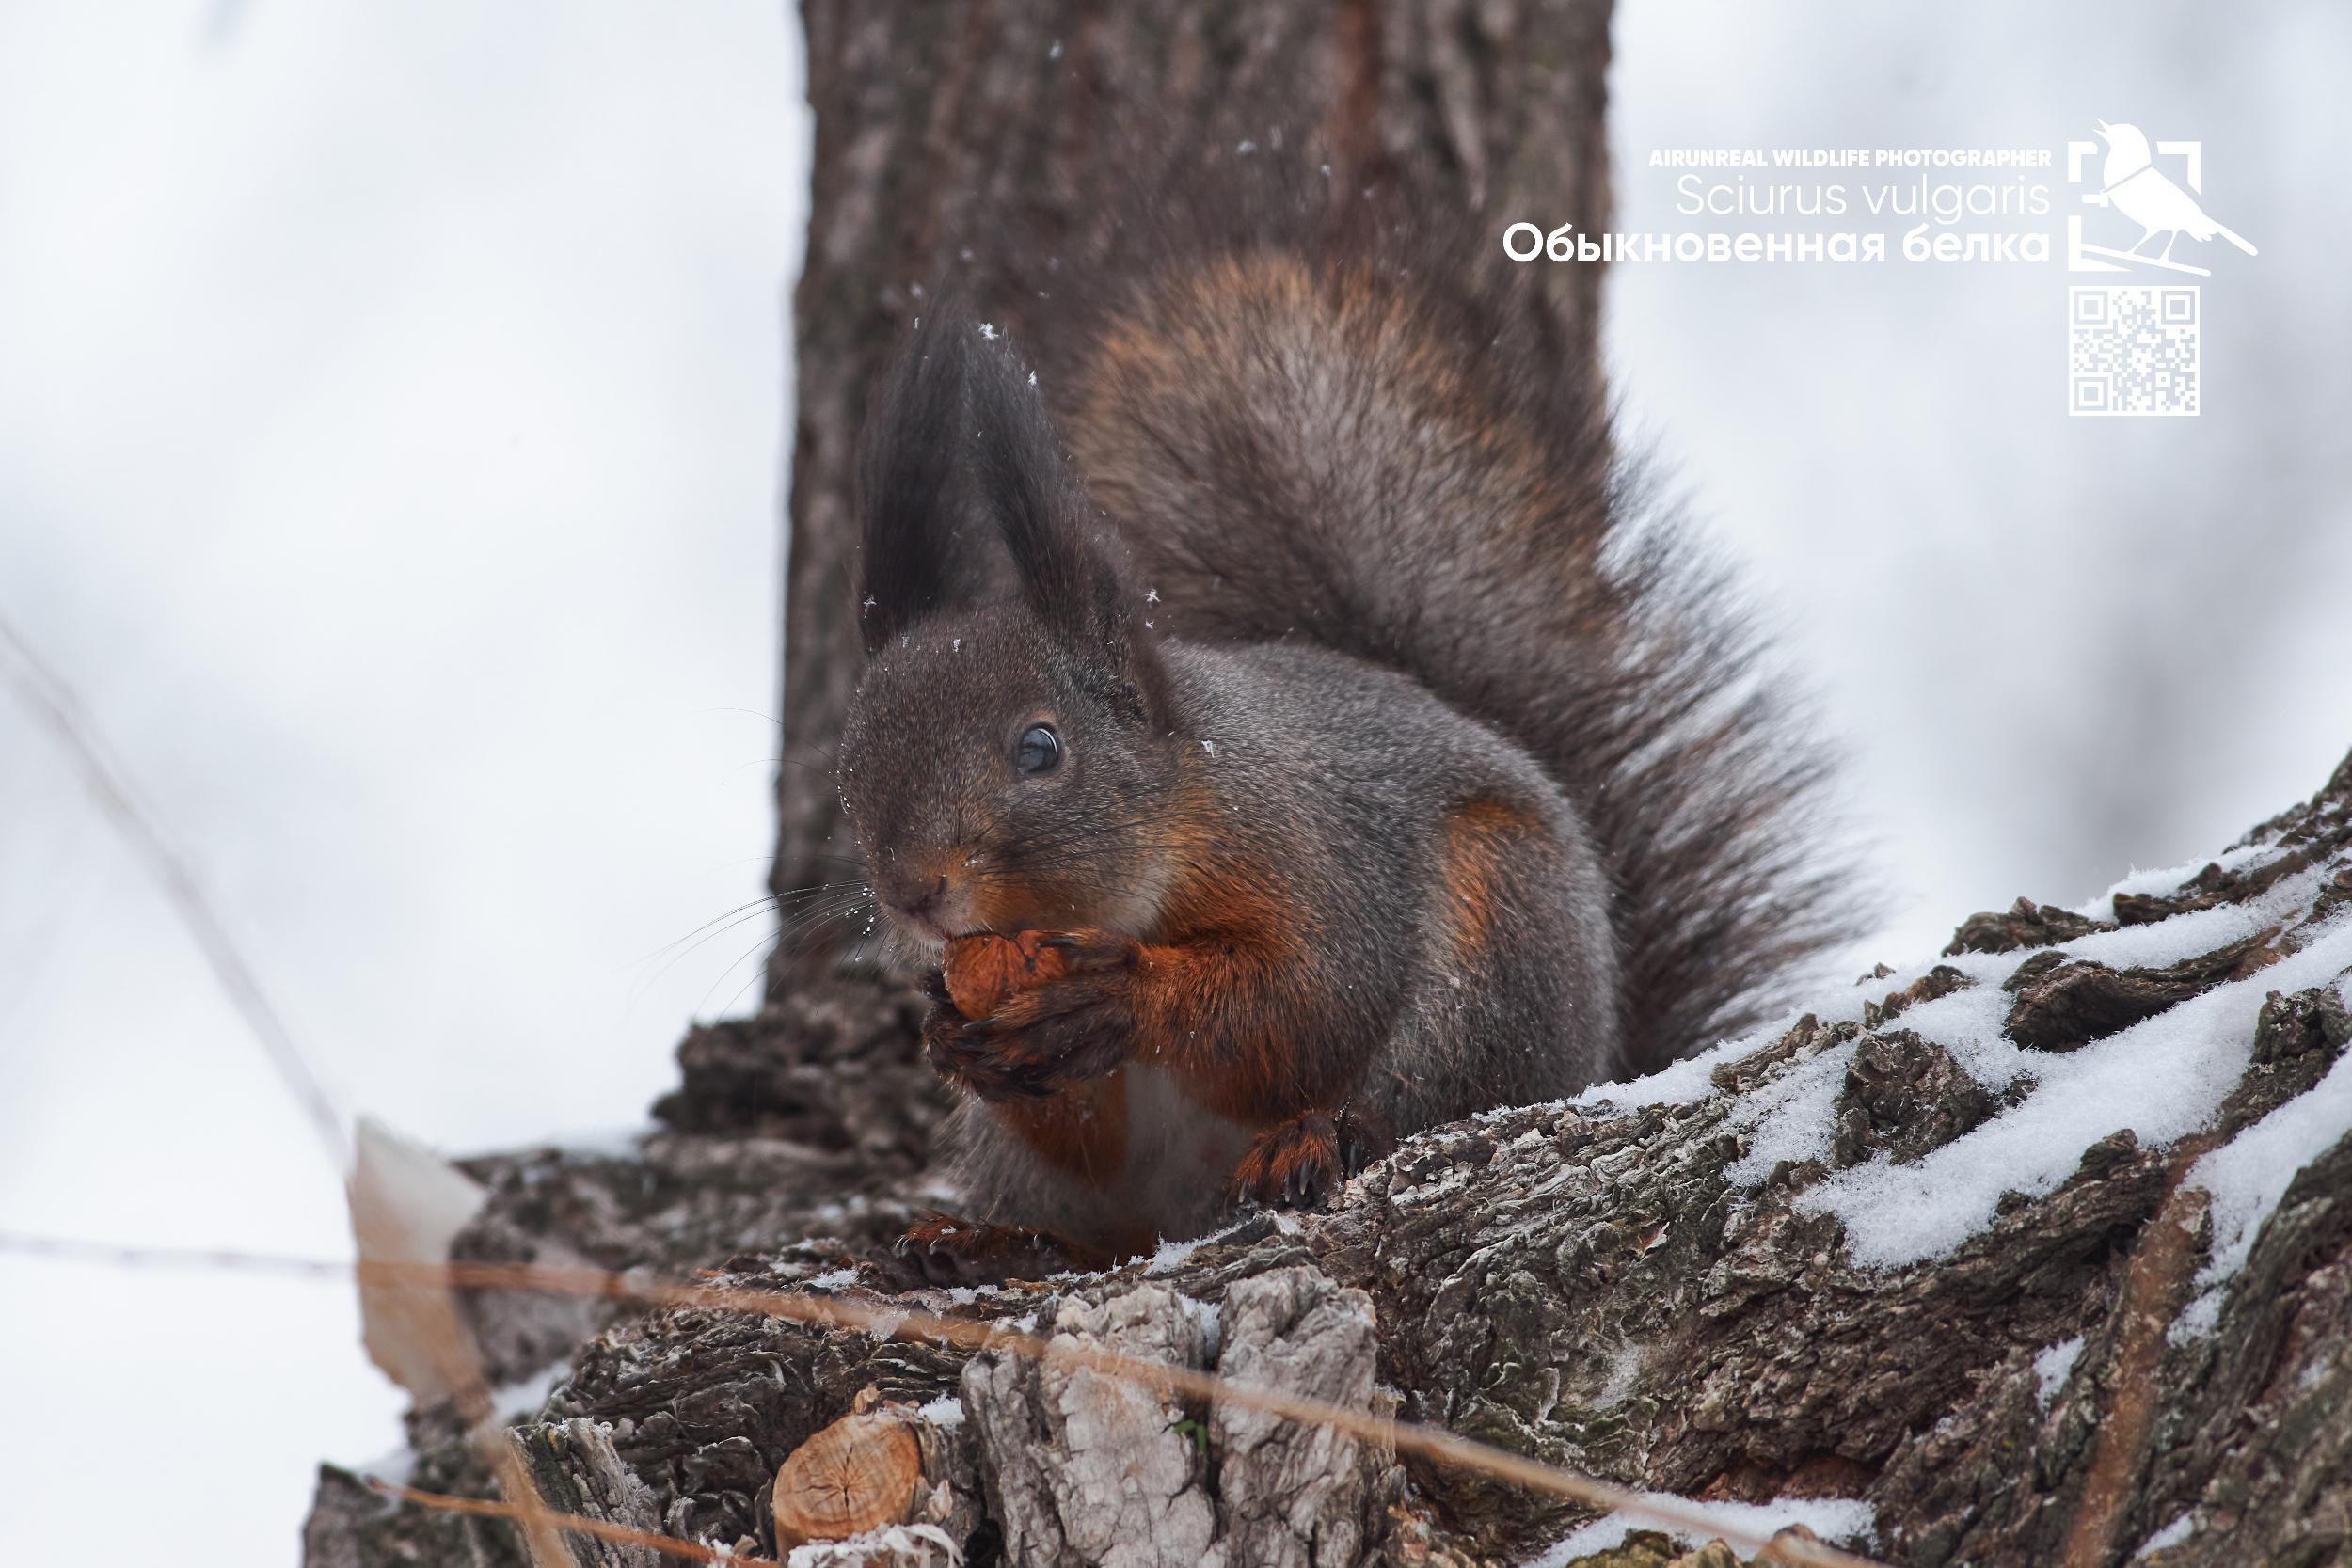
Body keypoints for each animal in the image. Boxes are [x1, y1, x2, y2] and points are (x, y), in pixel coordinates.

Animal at [837, 162, 1844, 1288]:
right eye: (850, 762)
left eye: (1041, 748)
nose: (914, 892)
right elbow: (1080, 1120)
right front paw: (947, 1035)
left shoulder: (1318, 854)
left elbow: (1308, 1000)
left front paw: (1120, 999)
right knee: (1101, 1222)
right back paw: (991, 1237)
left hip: (1494, 953)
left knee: (1409, 1100)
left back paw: (1314, 1139)